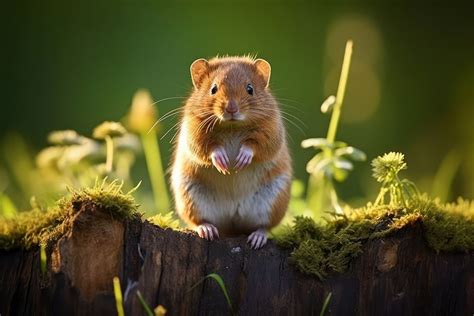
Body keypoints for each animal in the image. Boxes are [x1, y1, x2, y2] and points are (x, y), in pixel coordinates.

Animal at [170, 56, 288, 249]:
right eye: (213, 89)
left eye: (250, 89)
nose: (231, 109)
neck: (232, 126)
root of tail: (233, 222)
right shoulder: (195, 133)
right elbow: (210, 148)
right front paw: (223, 163)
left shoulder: (270, 133)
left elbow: (254, 145)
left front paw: (241, 159)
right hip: (192, 198)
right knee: (198, 221)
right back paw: (207, 229)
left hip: (272, 200)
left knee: (264, 226)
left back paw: (257, 238)